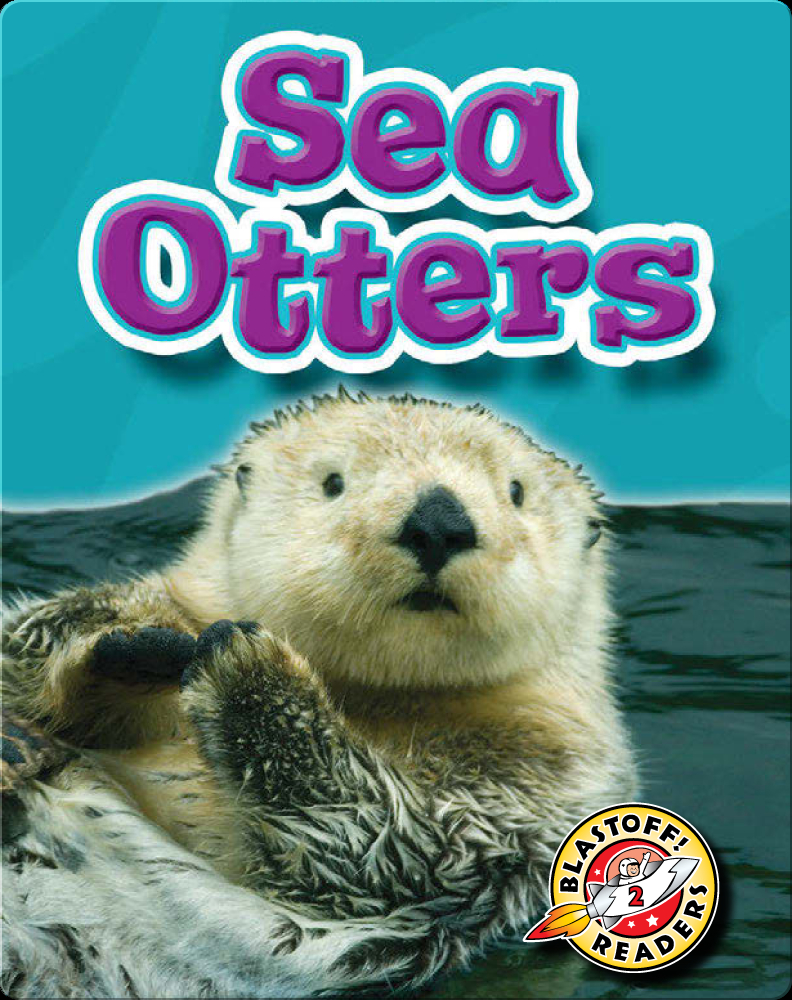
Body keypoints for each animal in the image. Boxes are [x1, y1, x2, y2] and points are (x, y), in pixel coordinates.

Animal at [1, 391, 635, 998]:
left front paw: (252, 671)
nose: (437, 522)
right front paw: (129, 637)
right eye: (333, 483)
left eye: (517, 492)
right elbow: (19, 650)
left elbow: (387, 850)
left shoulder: (531, 790)